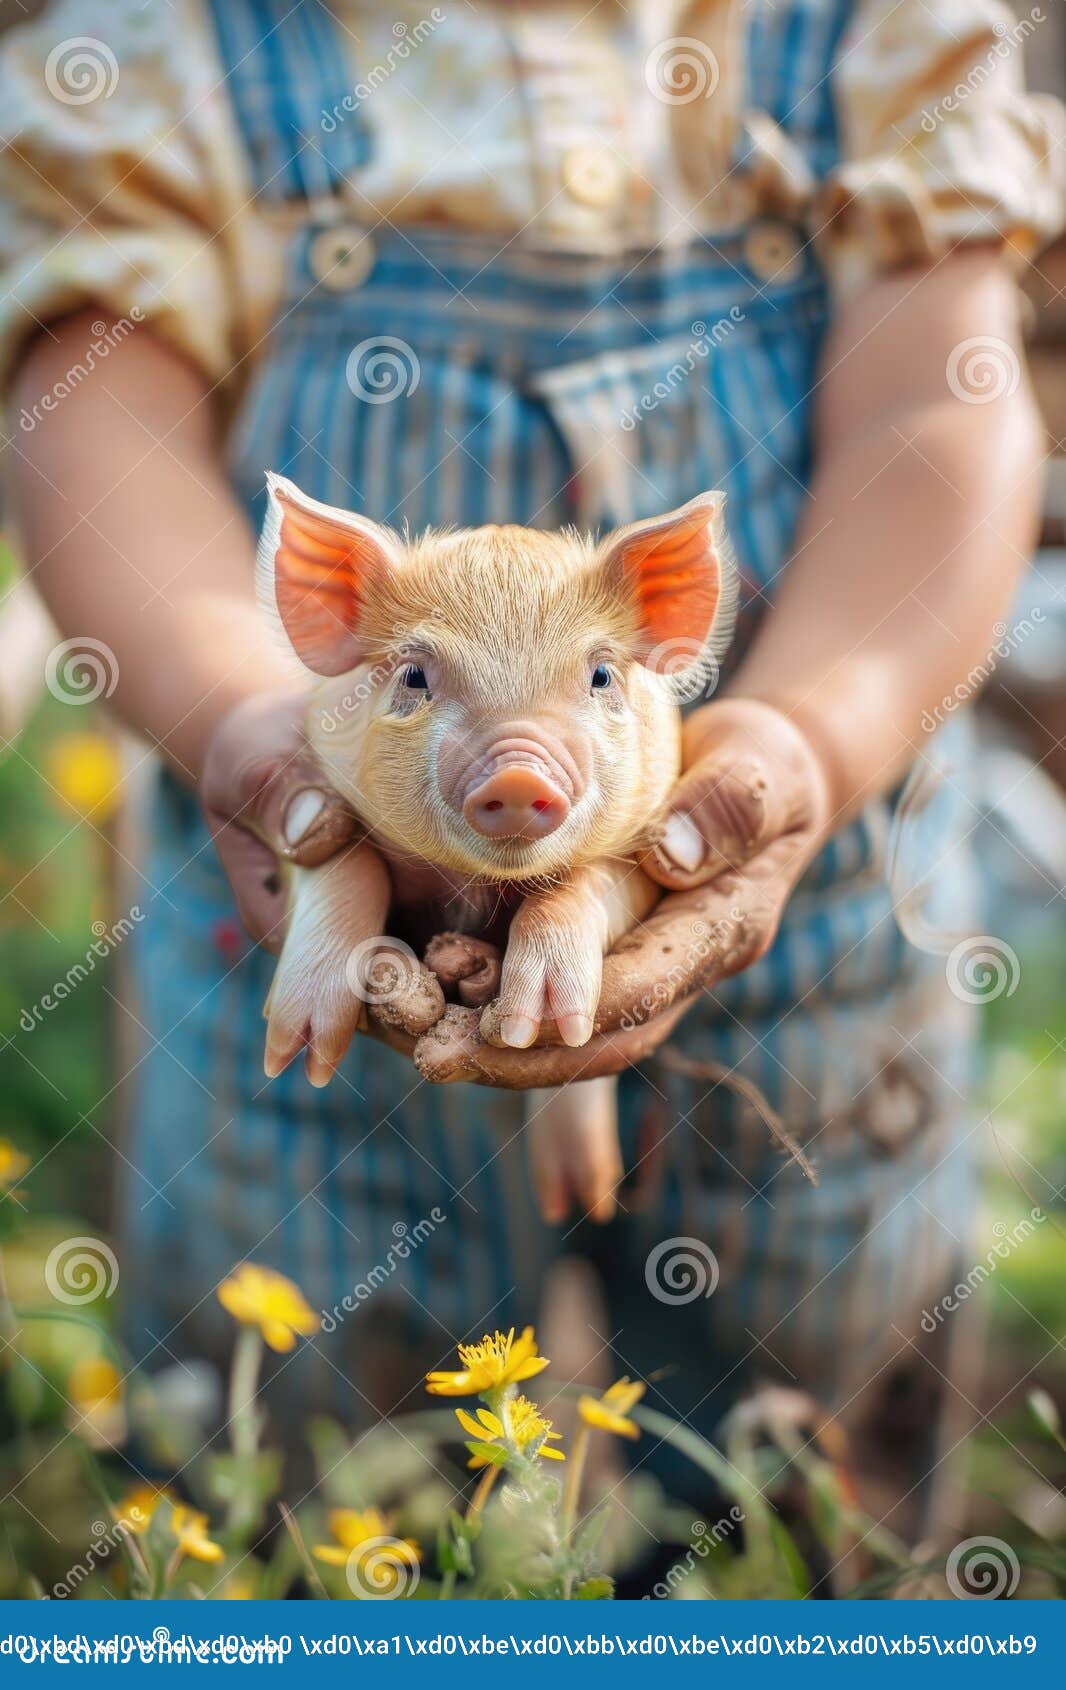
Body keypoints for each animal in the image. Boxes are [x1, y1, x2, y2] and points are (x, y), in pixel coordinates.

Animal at [256, 474, 736, 1224]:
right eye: (415, 677)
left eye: (601, 675)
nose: (517, 773)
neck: (475, 882)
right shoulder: (312, 796)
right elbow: (344, 864)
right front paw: (296, 1056)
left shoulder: (655, 839)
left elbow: (584, 885)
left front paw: (524, 1027)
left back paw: (583, 1203)